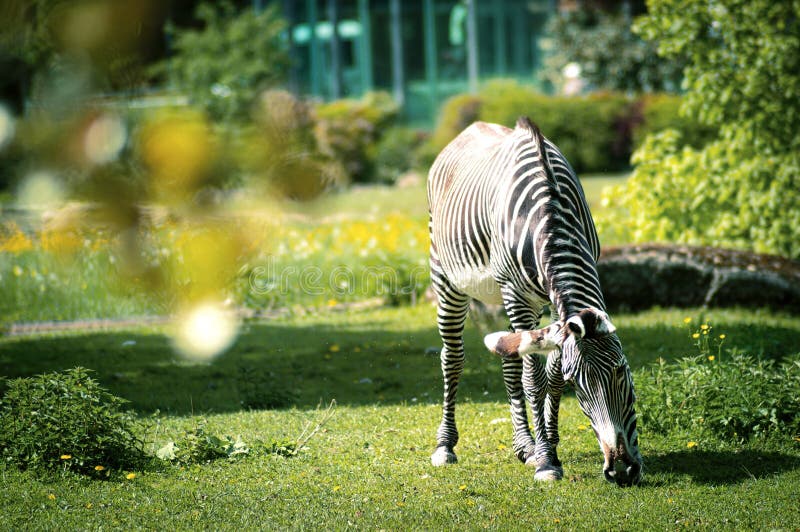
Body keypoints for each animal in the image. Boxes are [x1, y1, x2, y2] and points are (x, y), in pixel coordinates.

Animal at [427, 117, 642, 486]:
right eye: (579, 387)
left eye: (621, 371)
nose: (622, 470)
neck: (552, 213)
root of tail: (470, 129)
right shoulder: (517, 294)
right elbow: (535, 381)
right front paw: (546, 461)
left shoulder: (556, 310)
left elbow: (548, 376)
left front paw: (549, 446)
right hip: (447, 277)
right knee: (452, 358)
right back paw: (446, 446)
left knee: (510, 362)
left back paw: (524, 444)